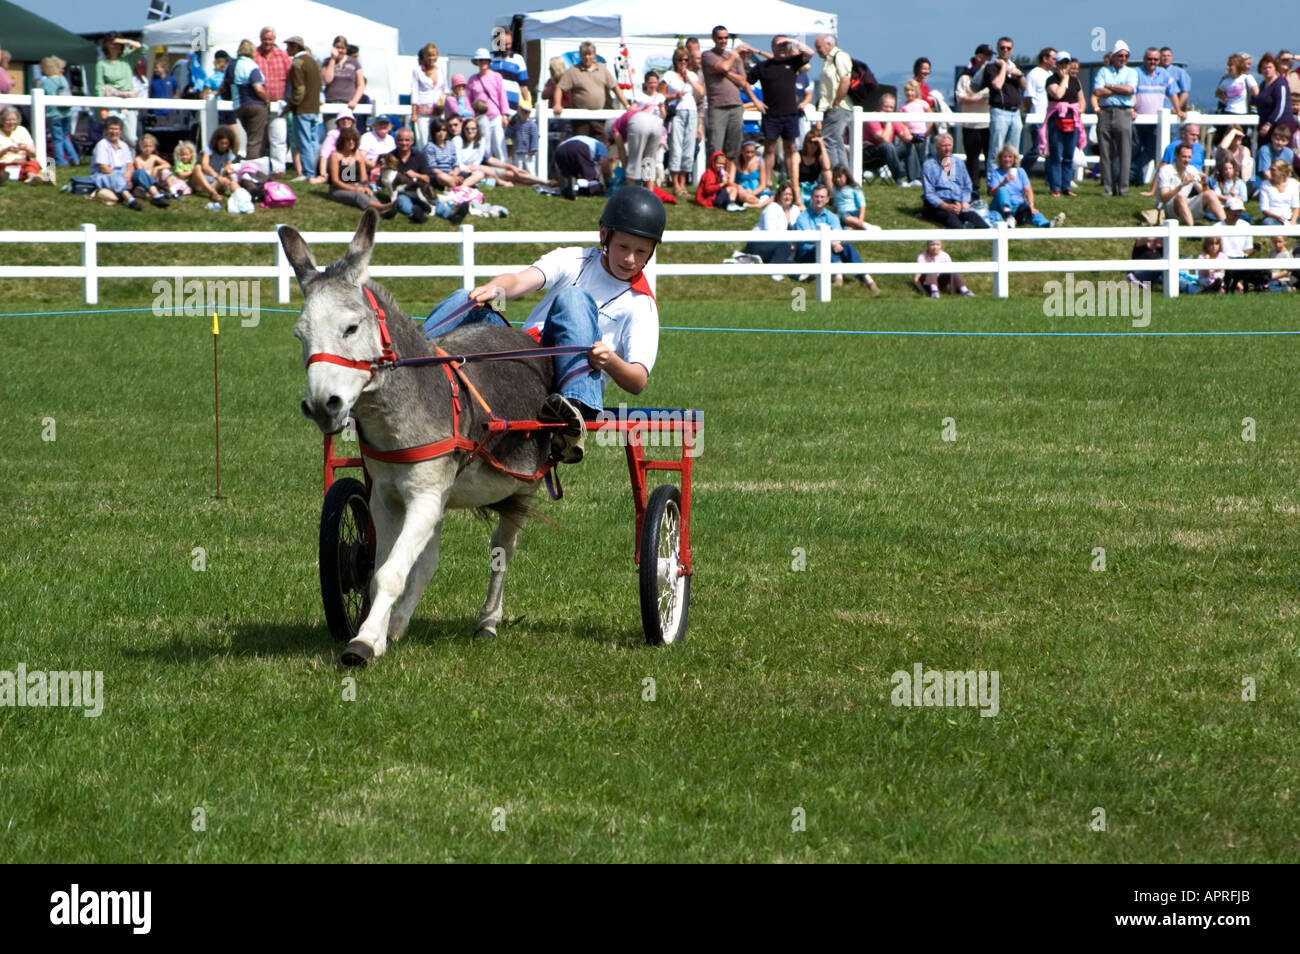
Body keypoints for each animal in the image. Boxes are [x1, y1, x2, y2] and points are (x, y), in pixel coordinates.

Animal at [279, 209, 554, 665]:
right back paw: (400, 624)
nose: (322, 406)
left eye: (351, 328)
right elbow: (381, 571)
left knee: (502, 551)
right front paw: (378, 633)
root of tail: (518, 335)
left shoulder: (425, 495)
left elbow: (393, 572)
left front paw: (362, 643)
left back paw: (487, 621)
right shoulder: (387, 497)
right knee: (429, 560)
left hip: (521, 487)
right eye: (299, 335)